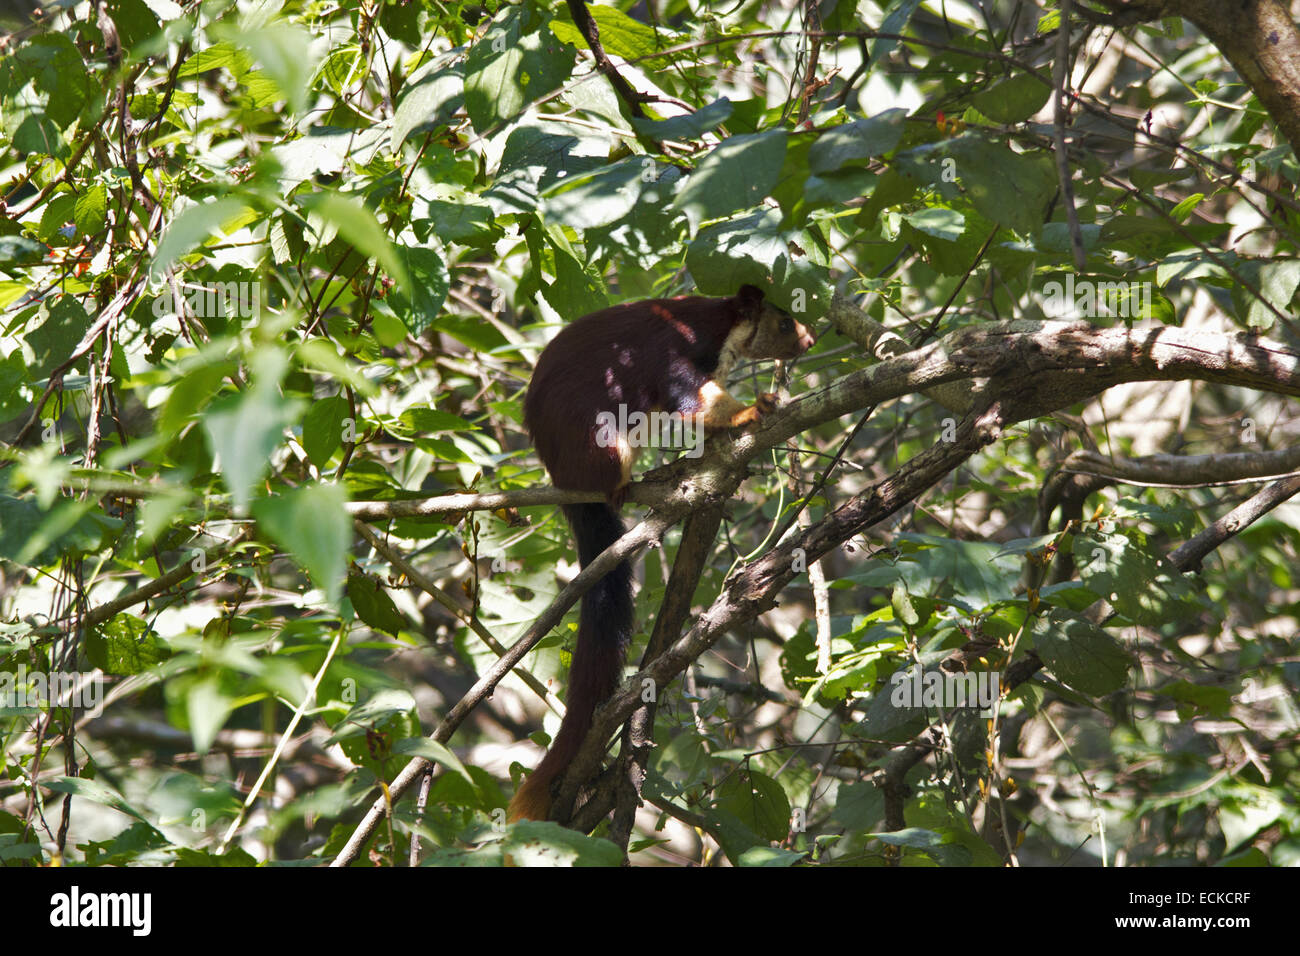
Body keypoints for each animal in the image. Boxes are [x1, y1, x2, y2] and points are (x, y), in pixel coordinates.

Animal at [508, 284, 815, 822]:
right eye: (782, 323)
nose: (811, 338)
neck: (720, 329)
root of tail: (564, 481)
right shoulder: (673, 357)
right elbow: (694, 400)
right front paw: (750, 410)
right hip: (597, 439)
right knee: (611, 468)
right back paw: (639, 481)